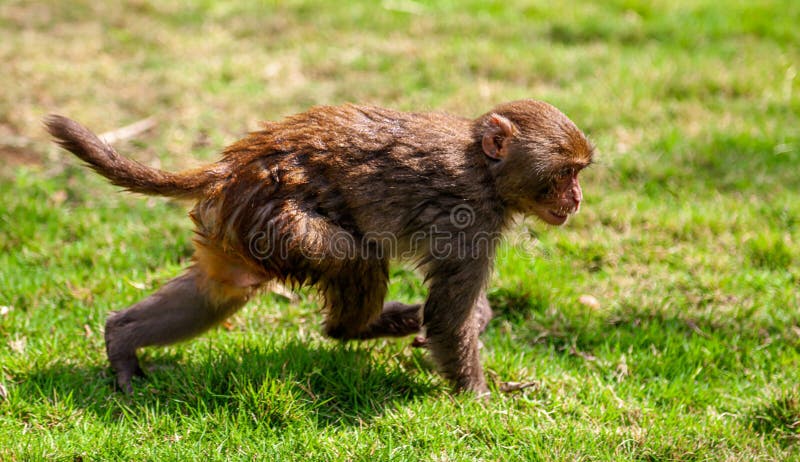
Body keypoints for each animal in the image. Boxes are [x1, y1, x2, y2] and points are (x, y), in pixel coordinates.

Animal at [45, 99, 593, 395]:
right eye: (566, 172)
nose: (577, 199)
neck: (486, 171)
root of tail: (232, 166)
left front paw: (479, 325)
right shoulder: (472, 220)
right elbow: (445, 318)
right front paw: (478, 396)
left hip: (238, 227)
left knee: (219, 291)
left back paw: (121, 342)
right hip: (278, 218)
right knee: (358, 259)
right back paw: (359, 327)